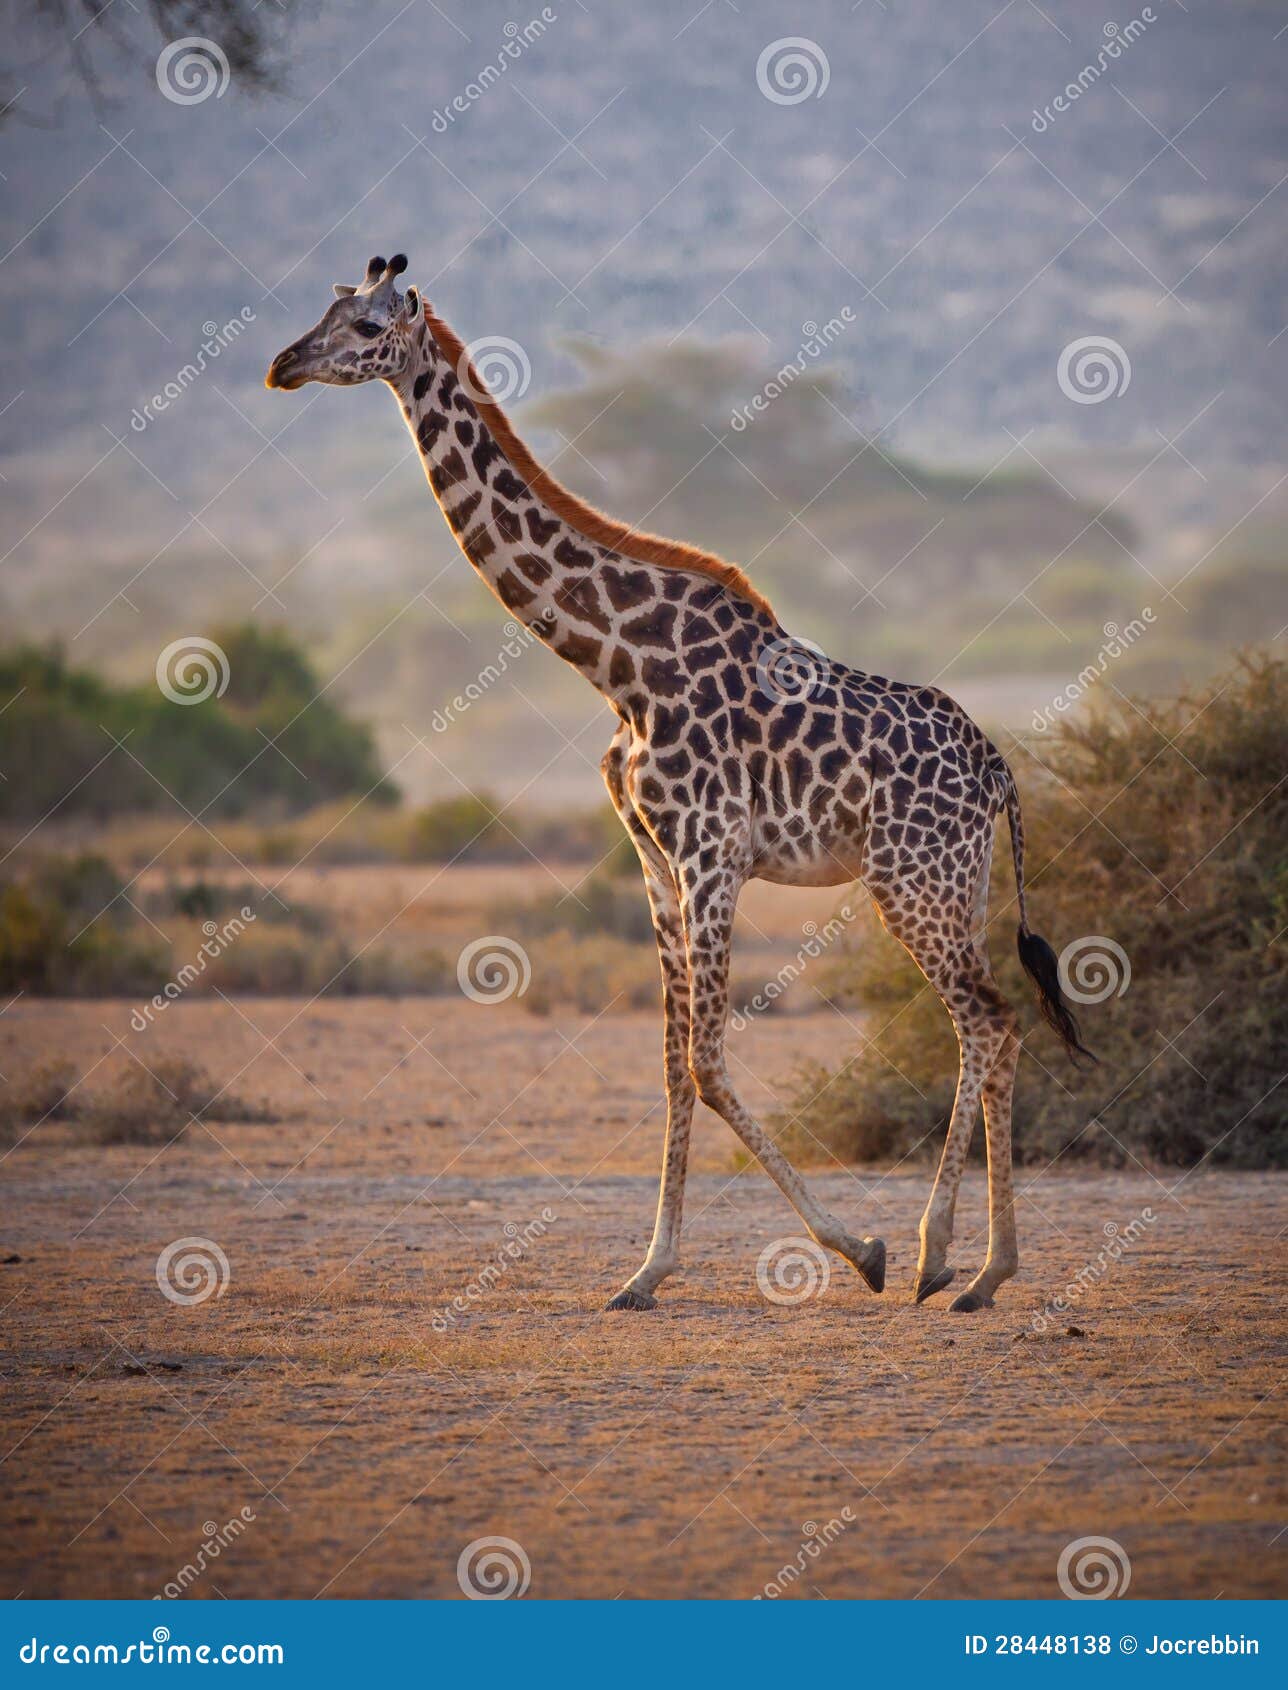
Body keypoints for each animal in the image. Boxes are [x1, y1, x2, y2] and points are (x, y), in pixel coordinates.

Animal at [267, 254, 1092, 1314]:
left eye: (367, 326)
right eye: (324, 310)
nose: (284, 365)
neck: (617, 665)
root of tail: (999, 771)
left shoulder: (712, 854)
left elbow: (705, 1058)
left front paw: (856, 1248)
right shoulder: (658, 862)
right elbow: (668, 1065)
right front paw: (645, 1271)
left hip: (913, 882)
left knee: (987, 1021)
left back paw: (958, 1262)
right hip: (957, 882)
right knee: (984, 1027)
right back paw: (968, 1263)